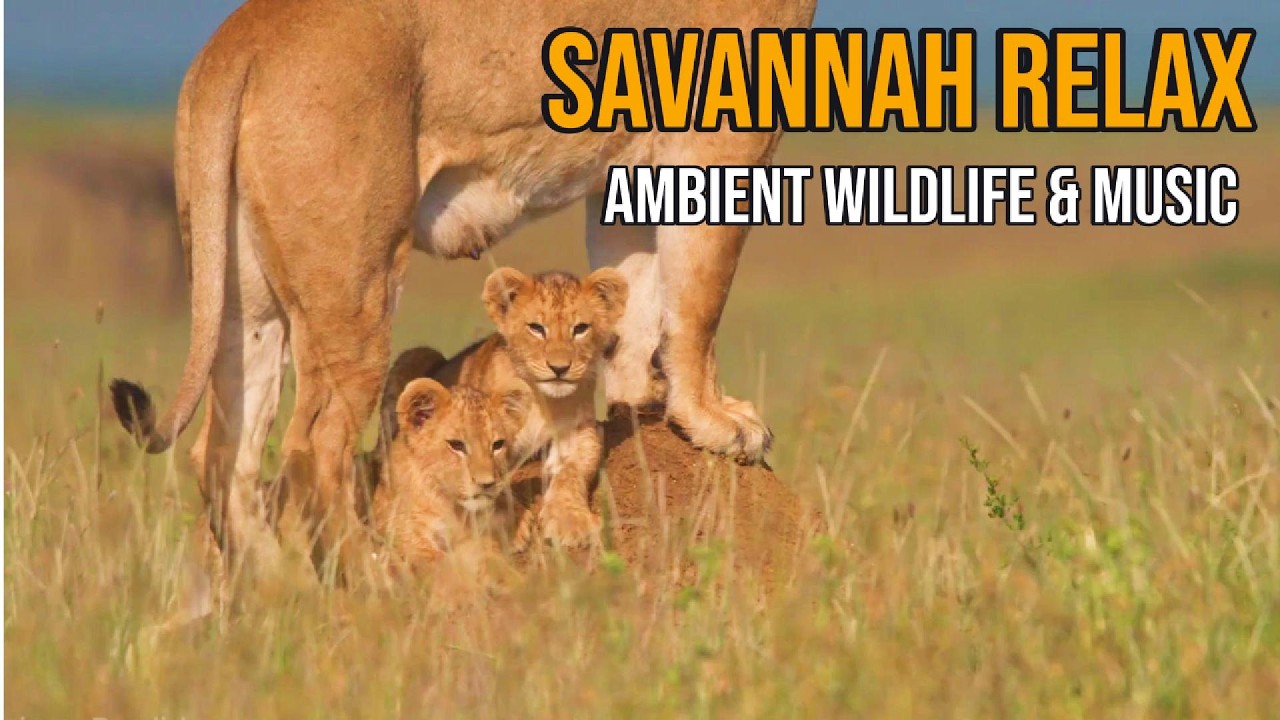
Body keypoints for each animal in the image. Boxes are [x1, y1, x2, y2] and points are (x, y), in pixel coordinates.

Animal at [109, 0, 815, 578]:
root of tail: (239, 38)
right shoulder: (722, 123)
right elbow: (700, 299)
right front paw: (716, 421)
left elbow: (637, 296)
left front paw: (638, 396)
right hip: (356, 286)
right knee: (315, 446)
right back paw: (362, 577)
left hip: (244, 301)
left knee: (224, 453)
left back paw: (274, 589)